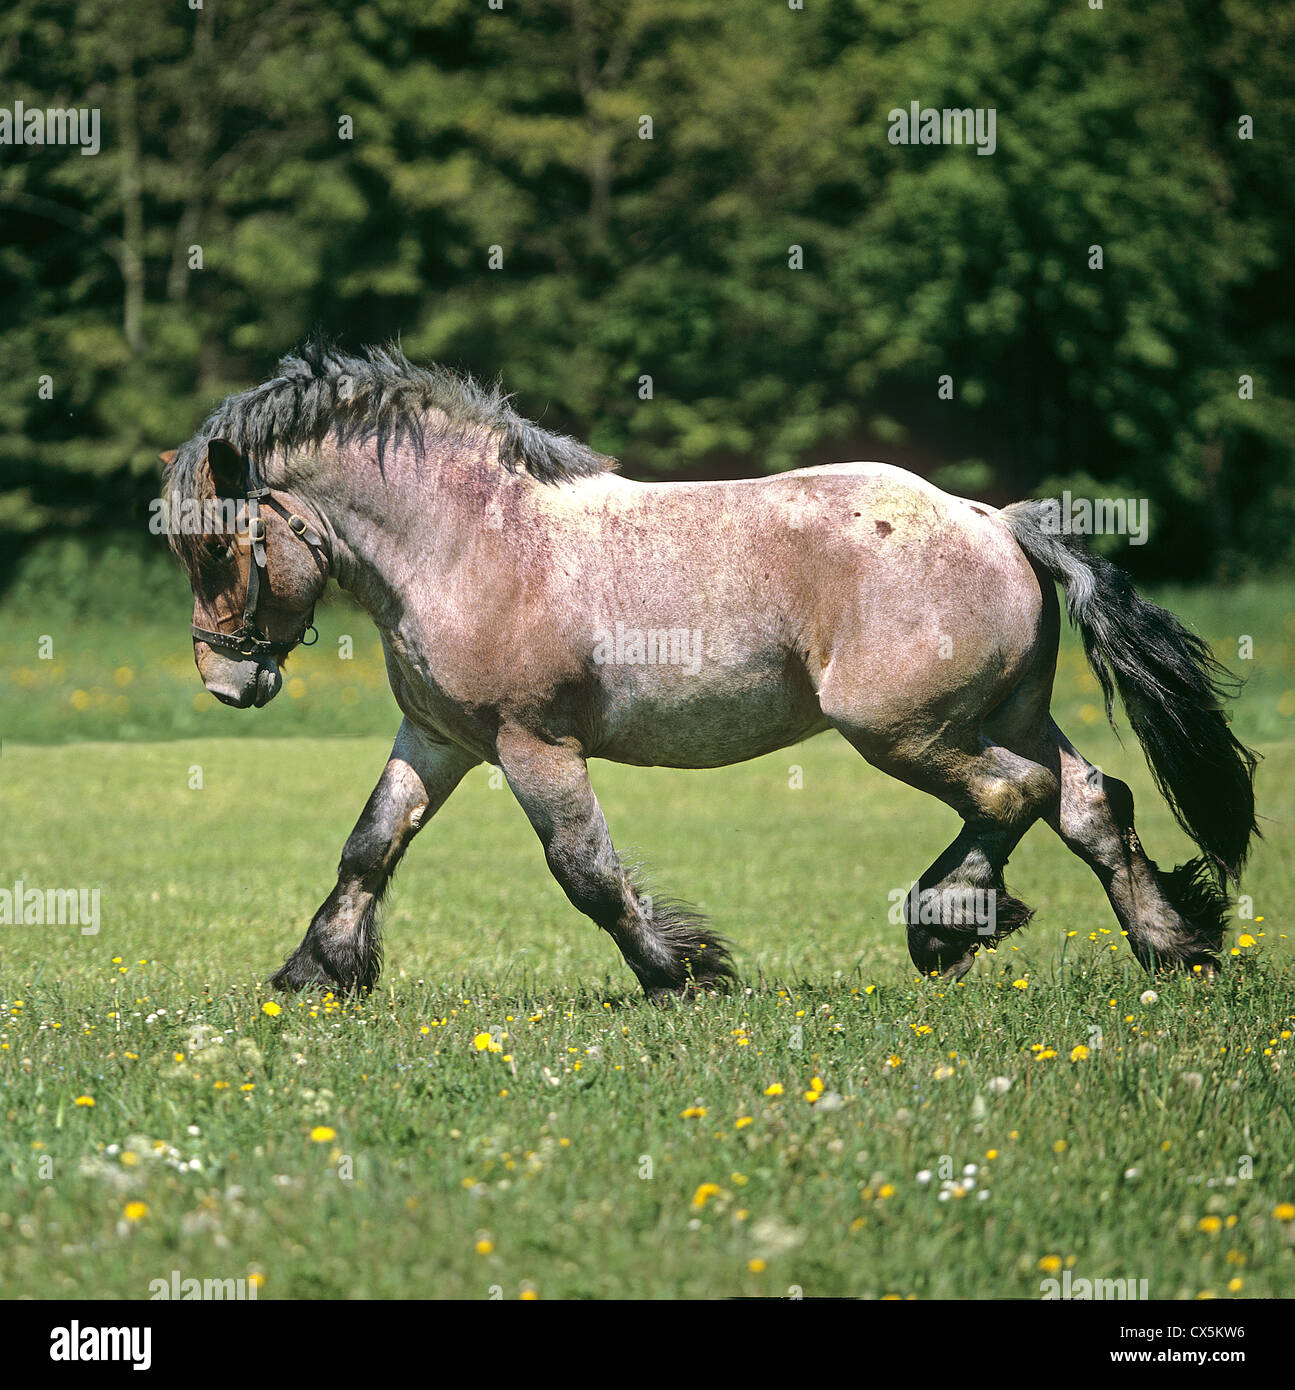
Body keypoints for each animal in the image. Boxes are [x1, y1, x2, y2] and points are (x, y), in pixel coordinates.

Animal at [160, 343, 1258, 998]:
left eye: (217, 548)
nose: (225, 685)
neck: (466, 541)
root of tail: (995, 520)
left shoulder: (531, 745)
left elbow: (586, 872)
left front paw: (679, 970)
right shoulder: (438, 739)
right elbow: (367, 848)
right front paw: (315, 969)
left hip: (904, 731)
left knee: (1010, 795)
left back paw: (945, 925)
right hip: (1004, 714)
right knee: (1088, 802)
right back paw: (1171, 945)